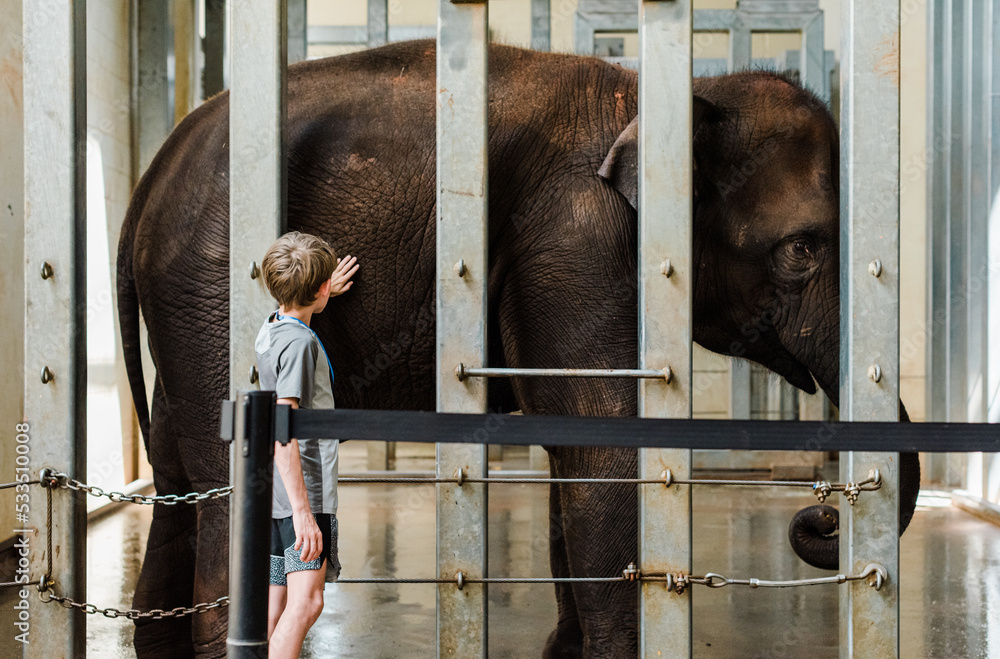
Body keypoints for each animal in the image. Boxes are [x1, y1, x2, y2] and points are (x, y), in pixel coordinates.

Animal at [116, 39, 919, 658]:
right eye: (803, 249)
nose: (820, 515)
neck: (666, 94)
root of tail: (149, 177)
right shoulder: (579, 238)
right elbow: (603, 451)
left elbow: (574, 456)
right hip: (215, 289)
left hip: (184, 312)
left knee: (175, 479)